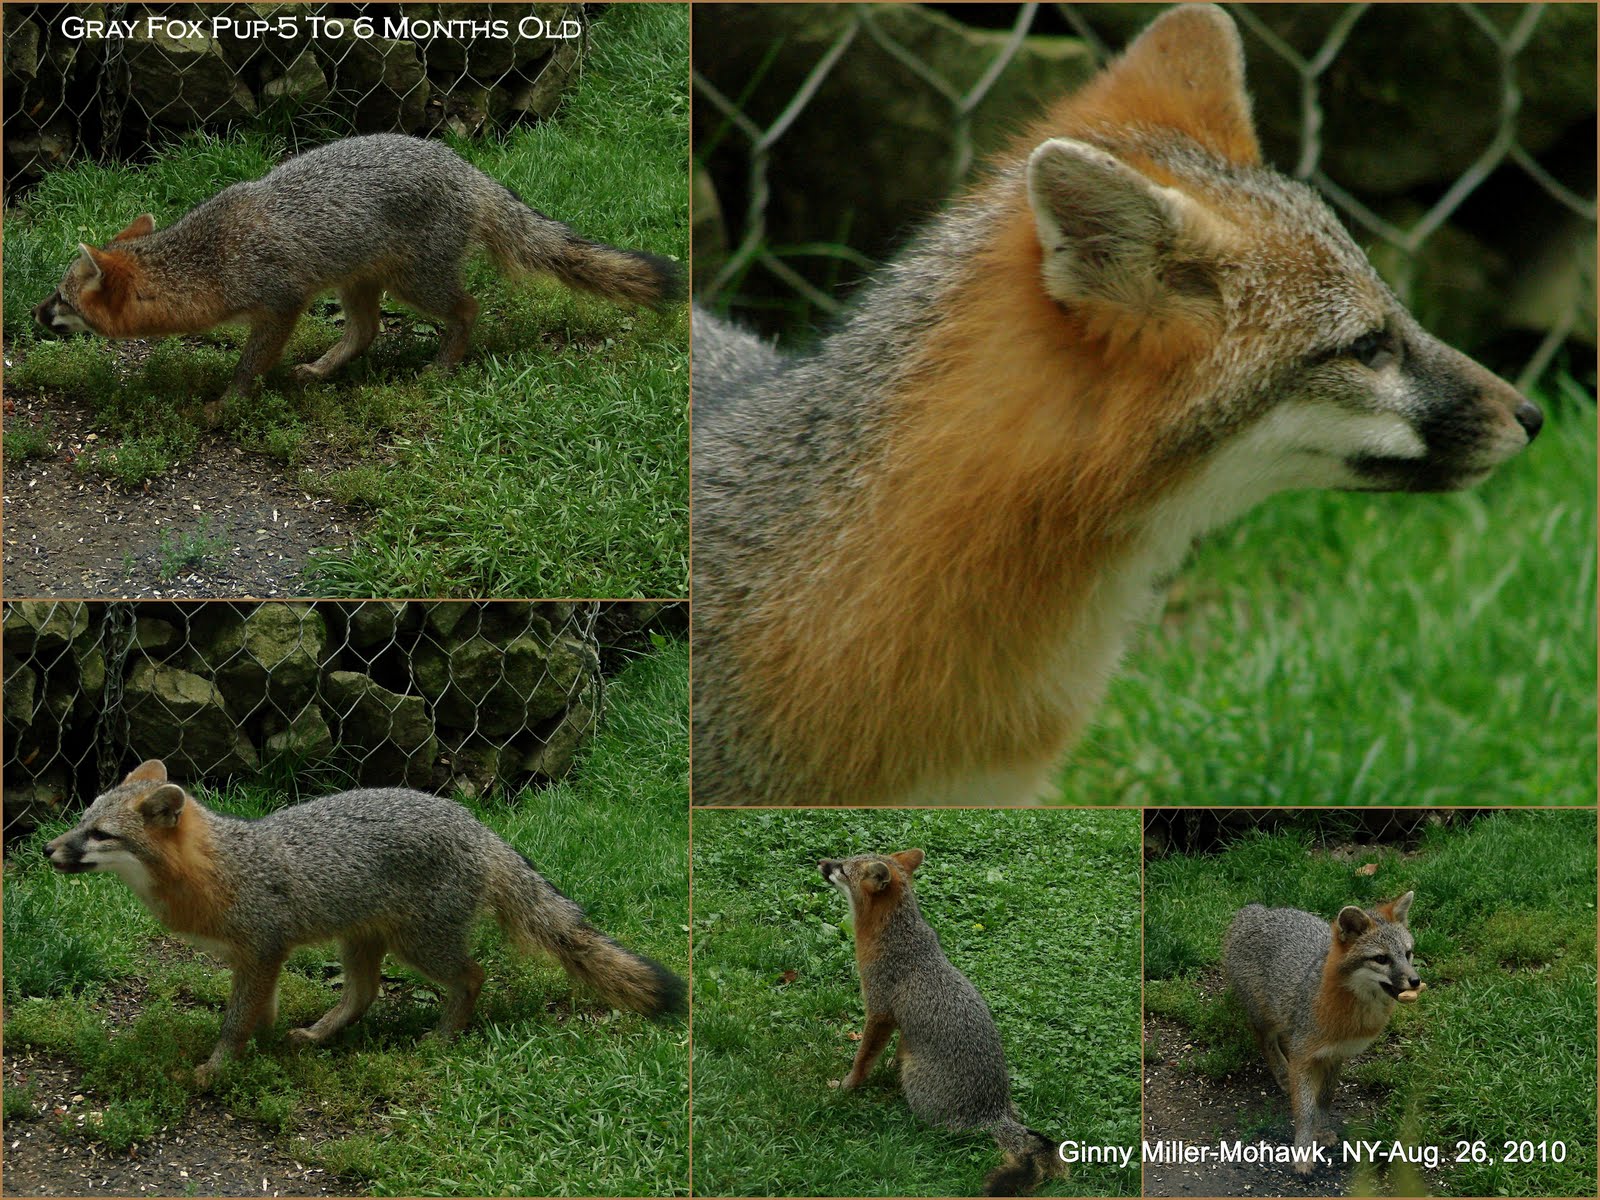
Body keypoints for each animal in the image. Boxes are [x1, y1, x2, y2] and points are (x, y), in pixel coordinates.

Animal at [34, 133, 682, 413]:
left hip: (415, 284)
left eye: (60, 298)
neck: (210, 257)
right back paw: (322, 370)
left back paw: (442, 368)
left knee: (467, 309)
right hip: (359, 283)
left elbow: (248, 363)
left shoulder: (282, 302)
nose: (33, 313)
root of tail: (470, 172)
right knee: (366, 331)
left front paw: (226, 404)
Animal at [44, 760, 685, 1088]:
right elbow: (259, 1011)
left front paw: (218, 1066)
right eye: (81, 820)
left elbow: (235, 1020)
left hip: (419, 946)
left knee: (472, 975)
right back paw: (319, 1035)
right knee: (363, 993)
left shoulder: (262, 949)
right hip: (361, 942)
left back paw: (443, 1038)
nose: (48, 850)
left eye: (100, 835)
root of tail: (480, 829)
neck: (217, 867)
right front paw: (264, 1046)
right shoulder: (257, 958)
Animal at [820, 849, 1064, 1196]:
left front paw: (846, 1086)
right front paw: (886, 1068)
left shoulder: (879, 1012)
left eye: (842, 868)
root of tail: (992, 1112)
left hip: (920, 1087)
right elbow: (899, 1049)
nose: (822, 863)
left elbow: (863, 1059)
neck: (899, 940)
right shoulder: (903, 1025)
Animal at [1224, 892, 1422, 1175]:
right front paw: (1303, 1152)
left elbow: (1324, 1098)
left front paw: (1323, 1130)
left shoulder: (1336, 1055)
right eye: (1381, 959)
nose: (1415, 981)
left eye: (1408, 954)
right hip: (1264, 1018)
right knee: (1266, 1041)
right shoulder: (1304, 1057)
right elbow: (1305, 1109)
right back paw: (1282, 1072)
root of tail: (1257, 912)